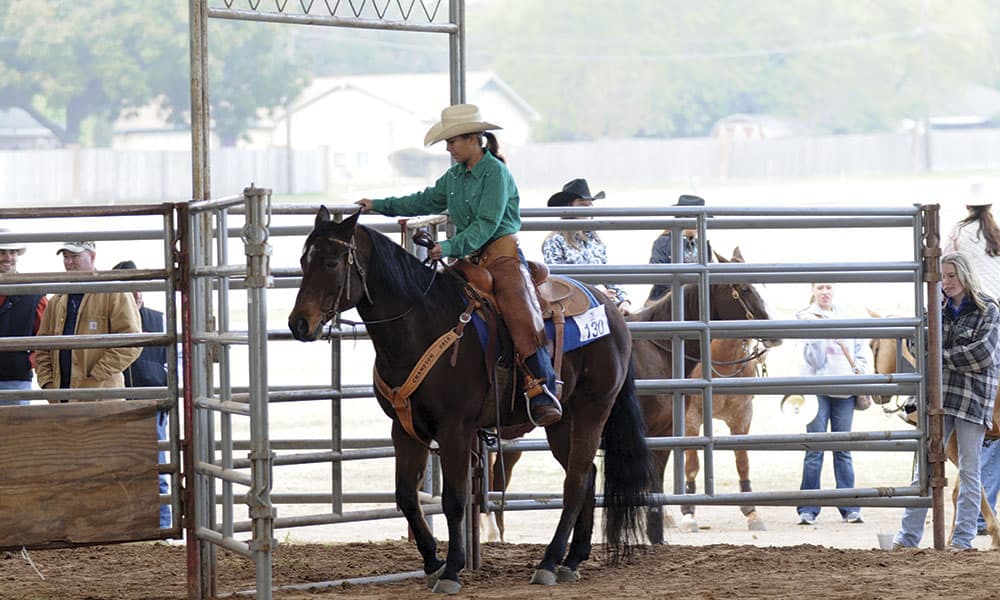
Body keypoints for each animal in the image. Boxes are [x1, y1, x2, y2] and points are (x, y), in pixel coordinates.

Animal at [288, 207, 652, 593]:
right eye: (303, 260)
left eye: (331, 262)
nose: (299, 324)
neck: (421, 323)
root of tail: (609, 307)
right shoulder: (403, 429)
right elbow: (406, 497)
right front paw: (433, 562)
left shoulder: (455, 429)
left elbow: (454, 500)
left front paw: (451, 570)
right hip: (560, 422)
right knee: (586, 475)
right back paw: (572, 559)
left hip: (592, 410)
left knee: (576, 481)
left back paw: (549, 563)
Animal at [629, 248, 777, 543]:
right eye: (744, 288)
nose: (773, 335)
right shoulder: (685, 421)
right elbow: (691, 465)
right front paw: (686, 515)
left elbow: (741, 461)